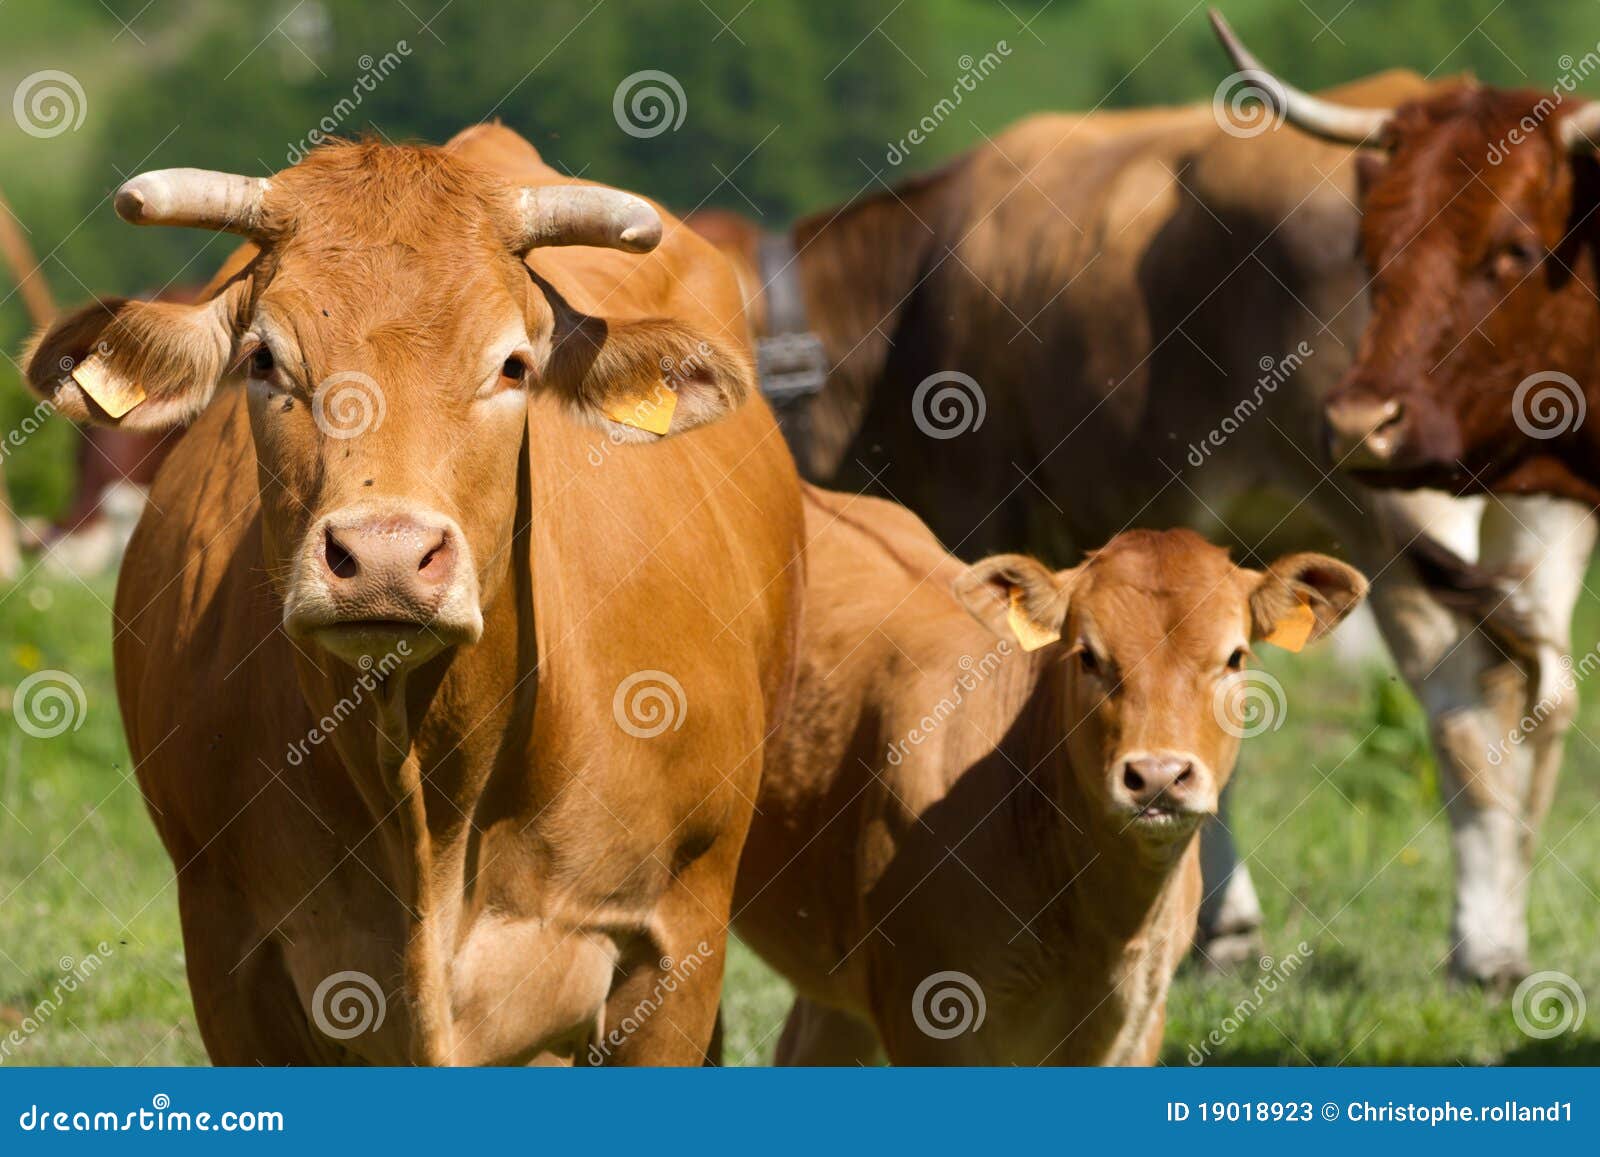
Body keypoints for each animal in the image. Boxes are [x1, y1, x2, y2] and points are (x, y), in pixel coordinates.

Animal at [686, 46, 1594, 985]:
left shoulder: (980, 518)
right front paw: (1223, 925)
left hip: (1391, 503)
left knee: (1467, 700)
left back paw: (1482, 947)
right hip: (1534, 511)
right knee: (1546, 695)